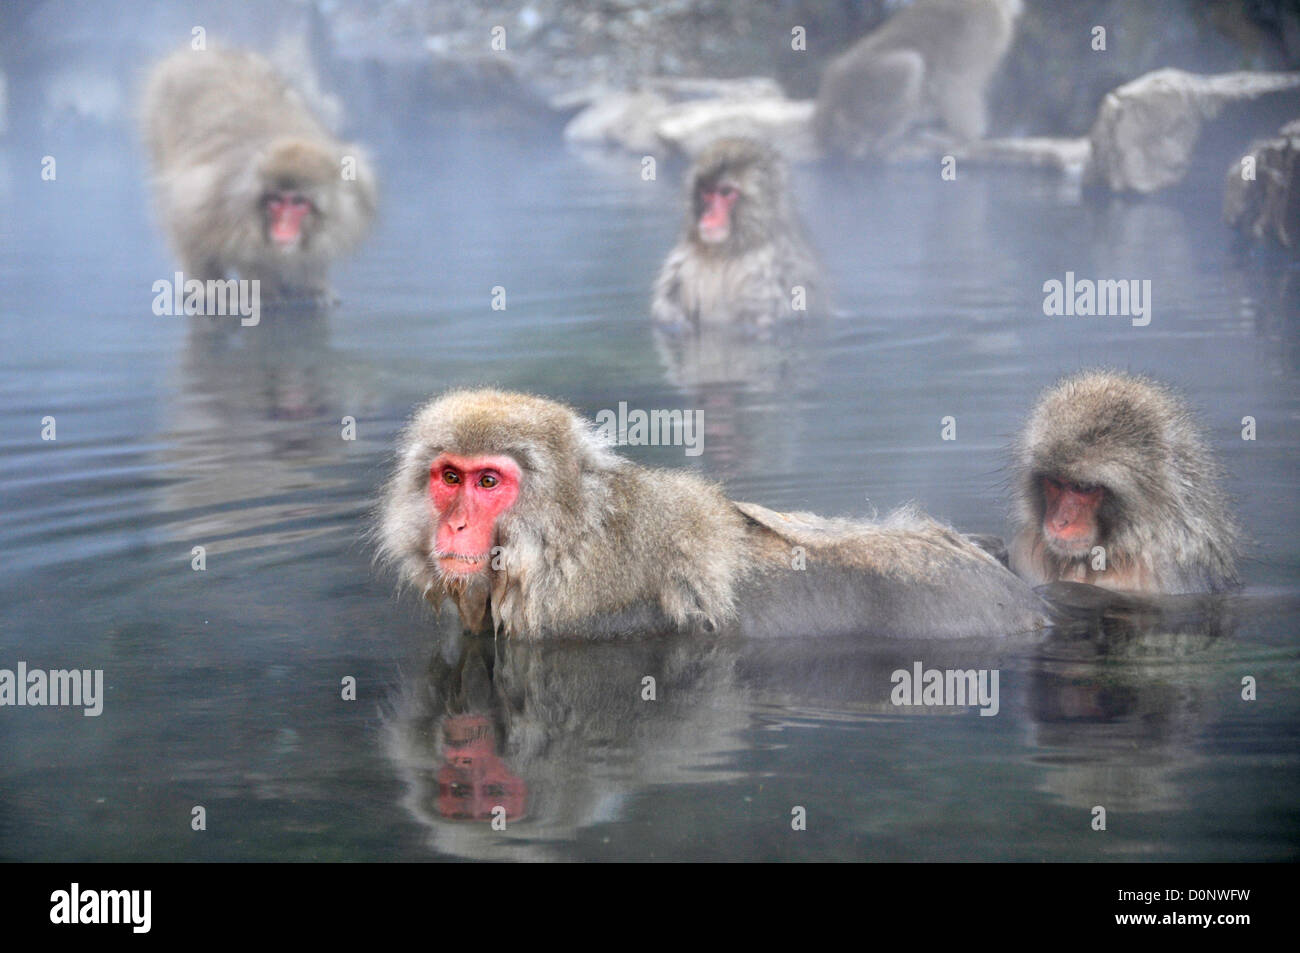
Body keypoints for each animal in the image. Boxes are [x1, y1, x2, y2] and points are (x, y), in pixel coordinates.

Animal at [141, 47, 377, 304]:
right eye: (275, 200)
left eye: (298, 202)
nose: (283, 229)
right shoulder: (212, 197)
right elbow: (187, 224)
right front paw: (224, 287)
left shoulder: (353, 196)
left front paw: (314, 284)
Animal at [651, 138, 822, 332]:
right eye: (707, 192)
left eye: (726, 192)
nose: (708, 215)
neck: (728, 251)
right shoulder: (678, 263)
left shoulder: (775, 270)